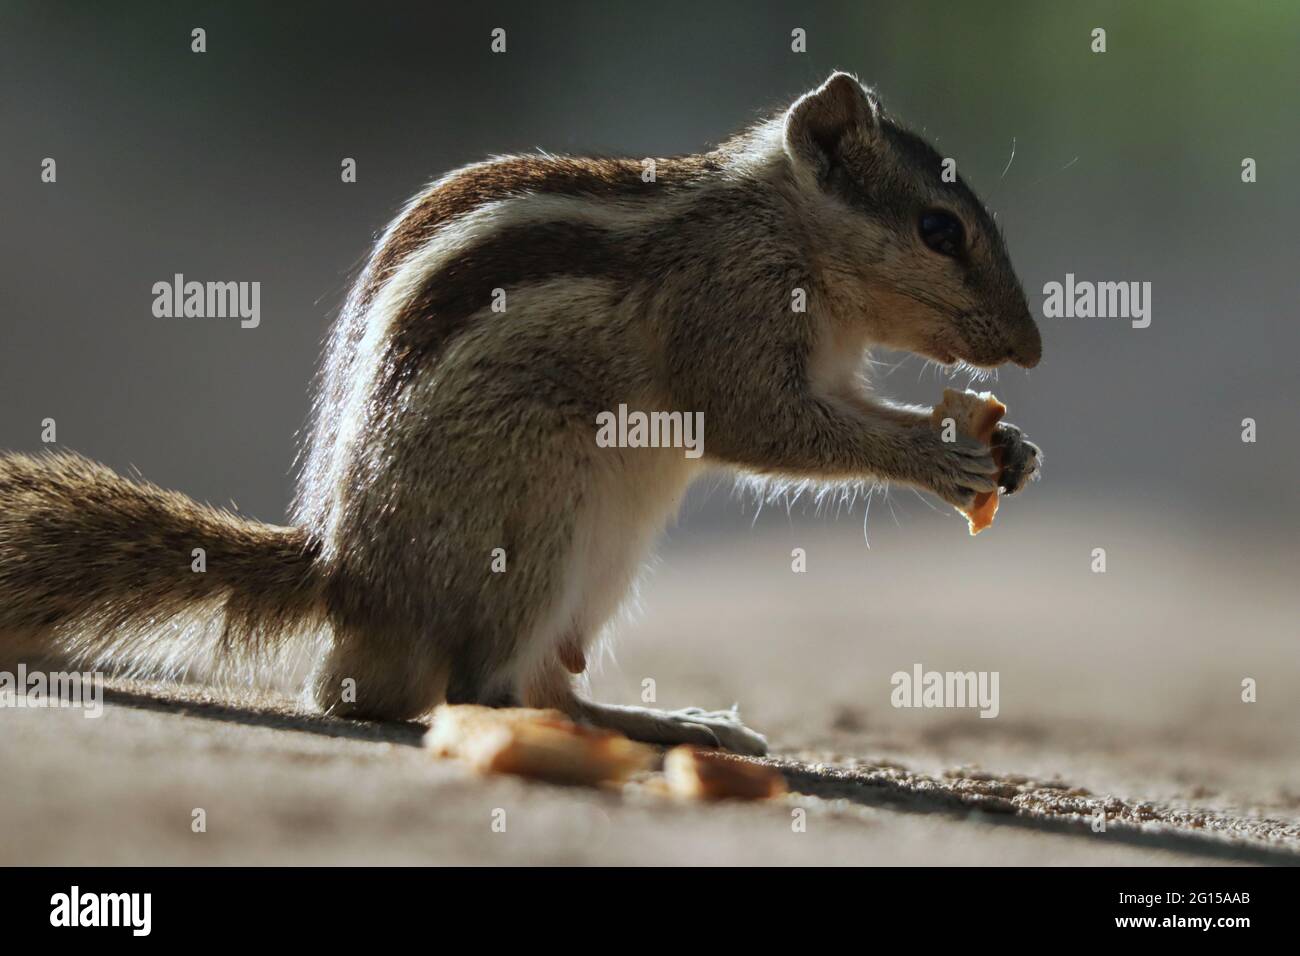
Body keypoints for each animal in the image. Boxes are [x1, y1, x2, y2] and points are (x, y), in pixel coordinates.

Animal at [0, 72, 1041, 755]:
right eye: (938, 229)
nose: (1031, 349)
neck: (782, 225)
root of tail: (348, 576)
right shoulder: (730, 316)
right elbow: (763, 427)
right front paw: (942, 455)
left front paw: (1012, 448)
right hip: (540, 514)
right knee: (476, 688)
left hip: (603, 558)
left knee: (532, 683)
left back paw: (660, 722)